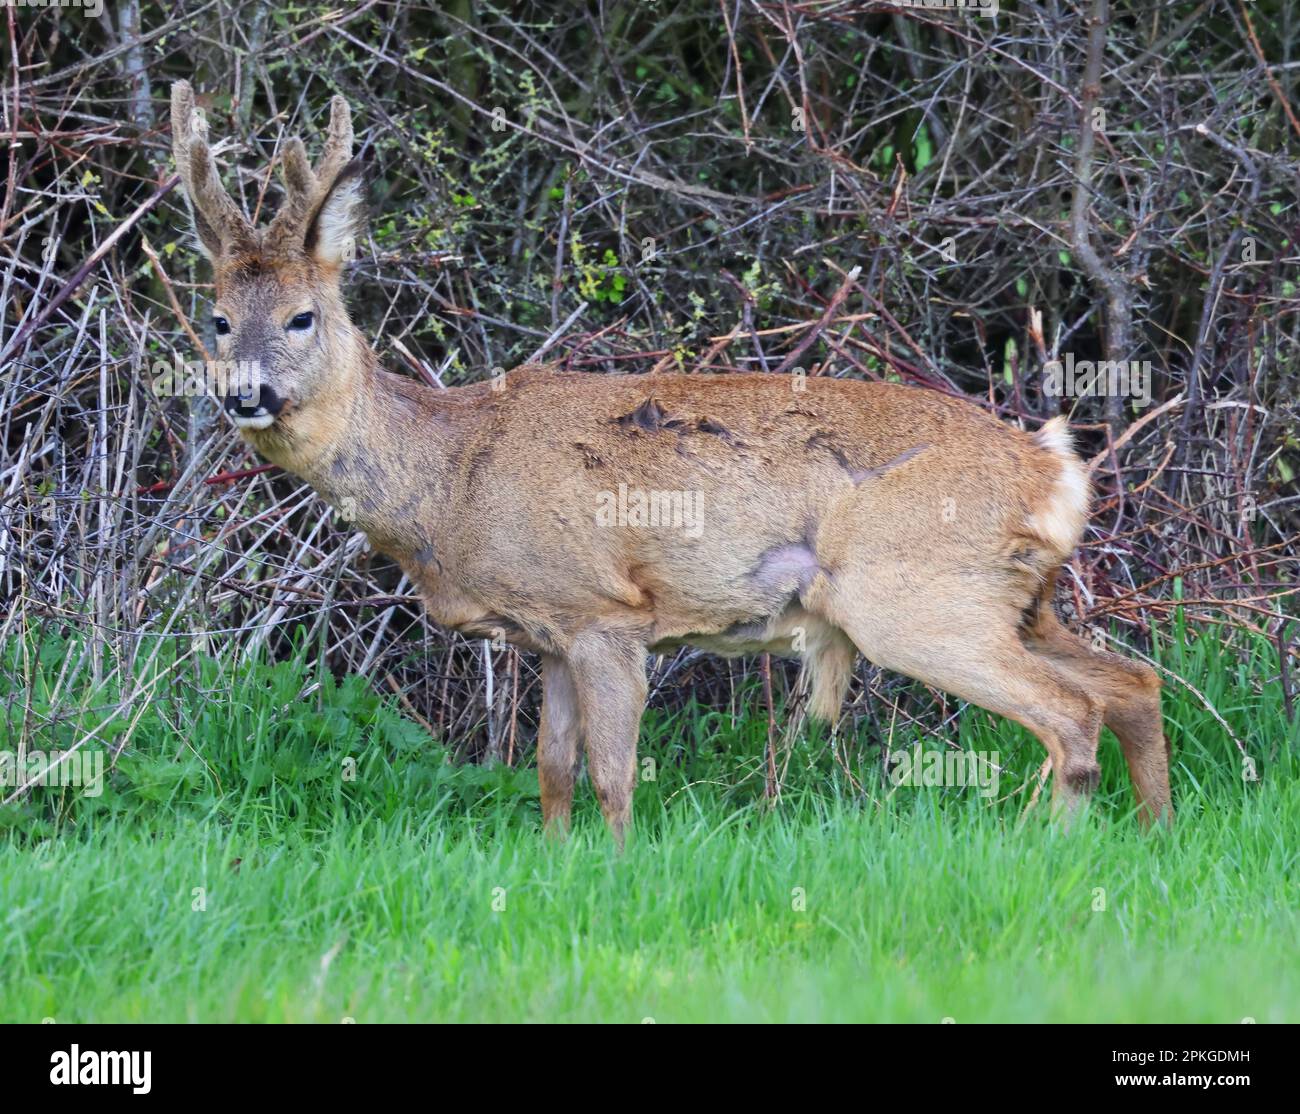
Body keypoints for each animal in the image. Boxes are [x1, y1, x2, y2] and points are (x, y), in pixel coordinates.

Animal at [166, 83, 1172, 843]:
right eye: (216, 319)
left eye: (302, 316)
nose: (245, 392)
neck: (451, 478)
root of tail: (1054, 472)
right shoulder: (548, 632)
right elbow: (552, 771)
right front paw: (559, 867)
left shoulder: (605, 613)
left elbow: (612, 775)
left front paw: (613, 873)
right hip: (1015, 600)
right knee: (1133, 683)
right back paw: (1151, 837)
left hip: (913, 594)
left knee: (1071, 714)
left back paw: (1048, 850)